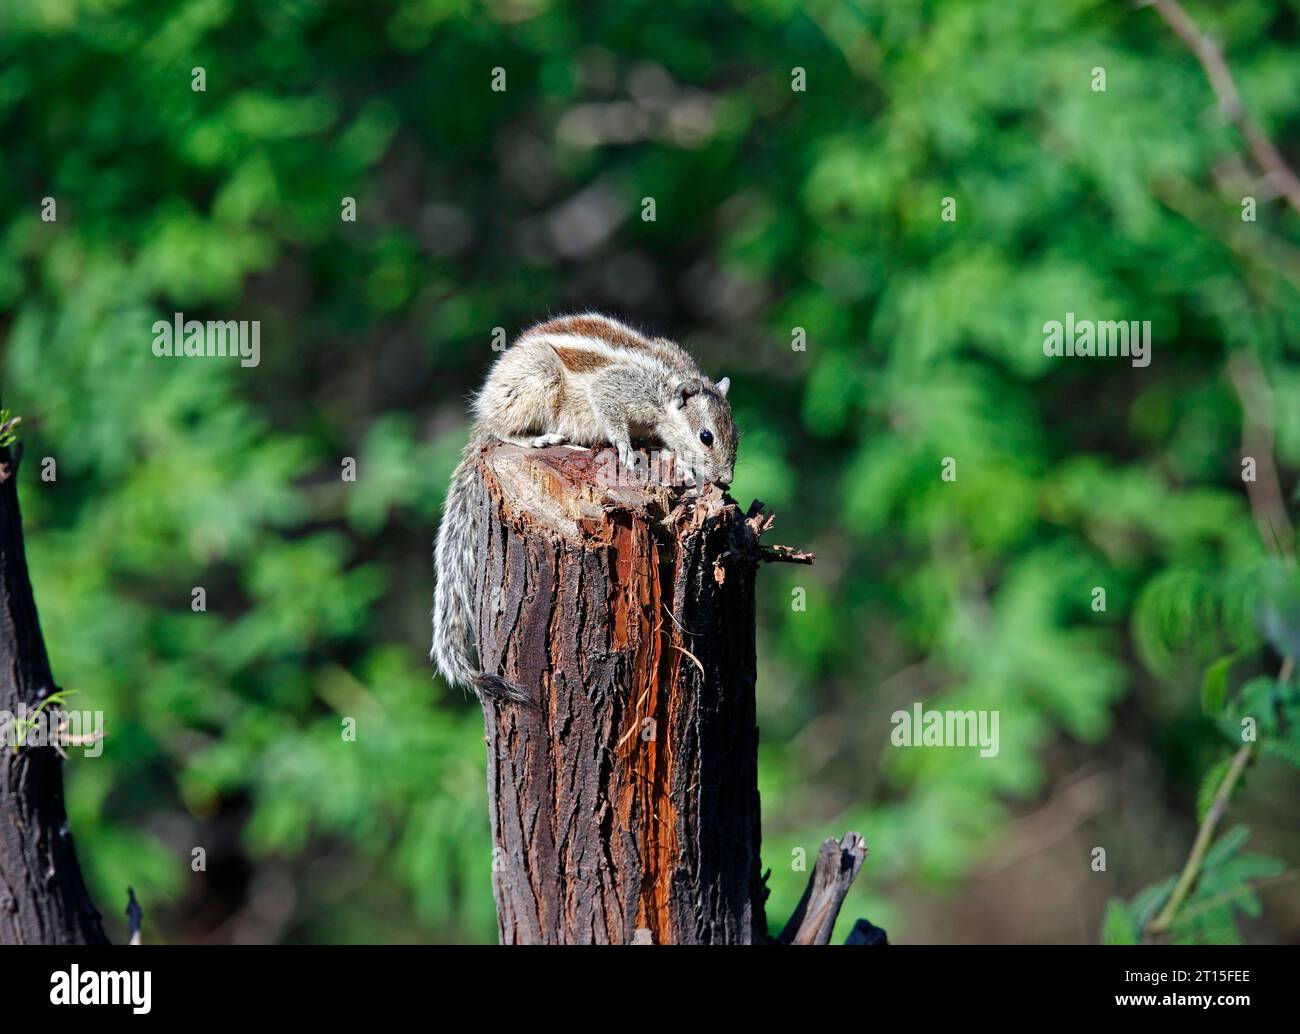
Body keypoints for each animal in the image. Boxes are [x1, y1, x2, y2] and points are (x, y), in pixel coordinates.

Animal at [431, 312, 738, 697]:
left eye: (735, 433)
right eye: (706, 436)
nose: (726, 479)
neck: (667, 385)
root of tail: (484, 411)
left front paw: (677, 461)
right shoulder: (617, 389)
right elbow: (610, 411)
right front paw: (627, 450)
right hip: (536, 380)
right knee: (503, 430)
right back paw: (539, 439)